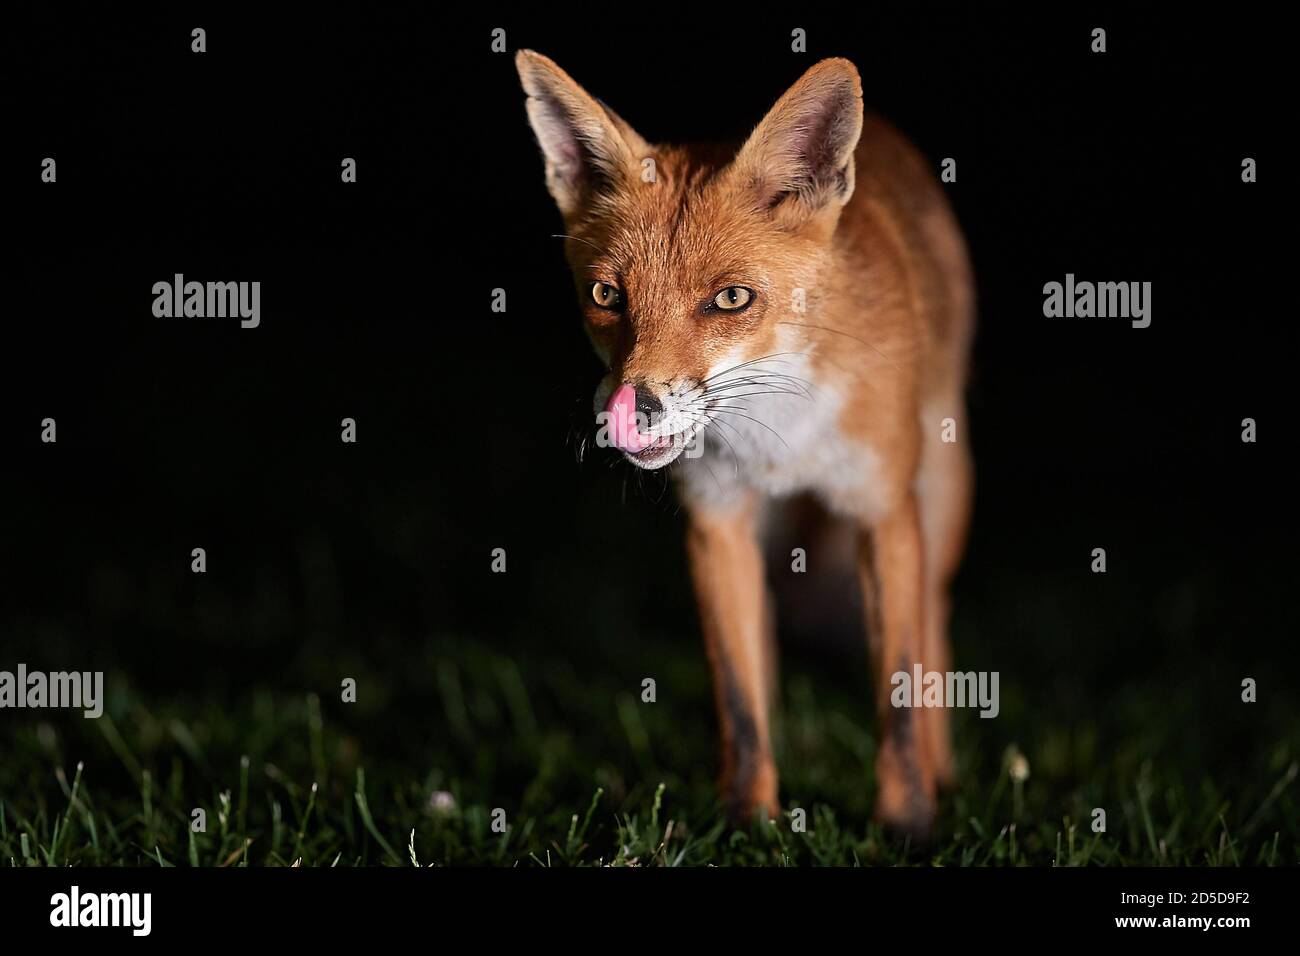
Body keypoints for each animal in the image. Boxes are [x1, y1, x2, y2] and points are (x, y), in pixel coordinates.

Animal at [516, 50, 974, 836]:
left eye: (731, 299)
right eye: (607, 296)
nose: (632, 410)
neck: (782, 441)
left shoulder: (882, 512)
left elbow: (899, 693)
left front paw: (908, 823)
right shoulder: (716, 523)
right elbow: (740, 701)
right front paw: (748, 822)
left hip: (940, 498)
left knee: (934, 626)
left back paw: (945, 771)